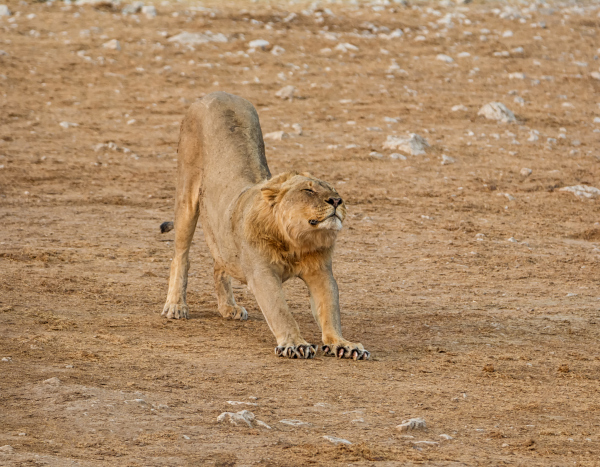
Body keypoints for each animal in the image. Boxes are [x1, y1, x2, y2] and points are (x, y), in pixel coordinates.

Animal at [159, 91, 368, 362]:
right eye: (309, 190)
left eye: (334, 190)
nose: (336, 201)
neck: (296, 242)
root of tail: (218, 93)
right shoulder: (262, 274)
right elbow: (280, 311)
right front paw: (294, 344)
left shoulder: (321, 272)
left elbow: (330, 311)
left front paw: (343, 344)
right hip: (187, 194)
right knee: (181, 255)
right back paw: (175, 306)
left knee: (219, 262)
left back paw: (229, 308)